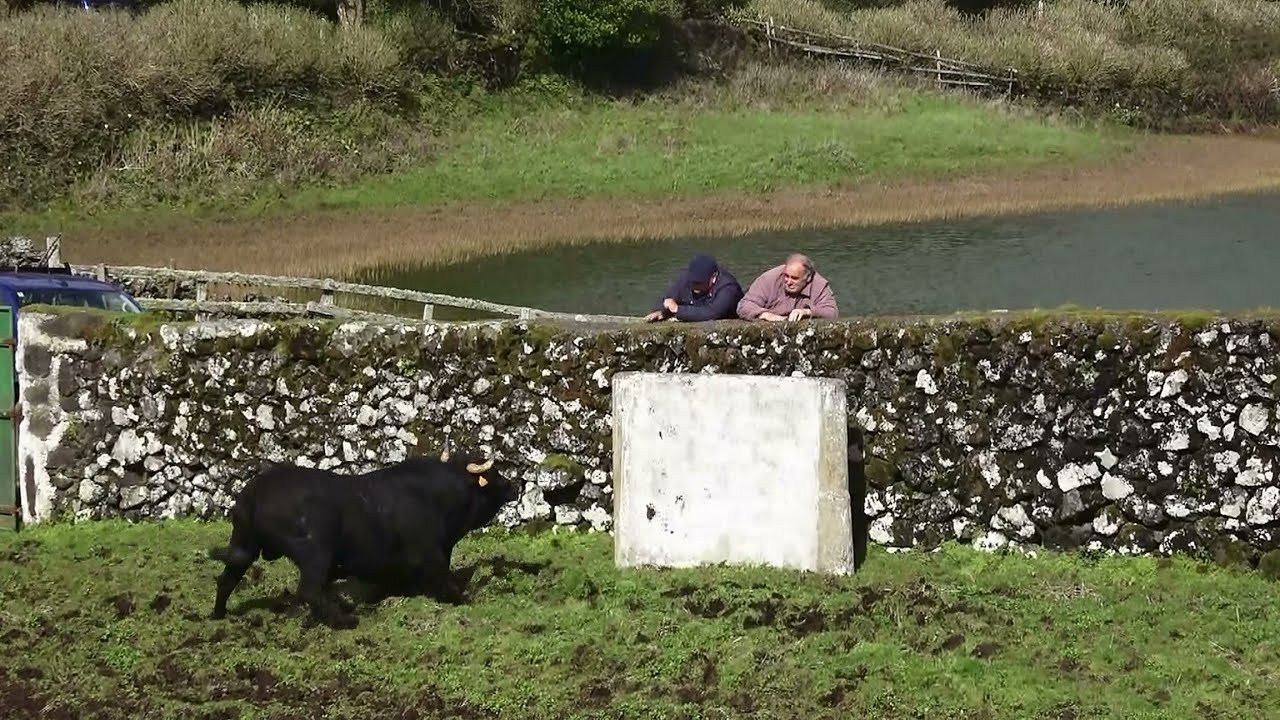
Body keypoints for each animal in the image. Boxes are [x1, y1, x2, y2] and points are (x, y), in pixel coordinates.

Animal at [207, 448, 521, 629]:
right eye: (494, 473)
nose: (514, 486)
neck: (438, 495)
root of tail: (257, 489)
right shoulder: (431, 553)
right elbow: (446, 580)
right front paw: (462, 598)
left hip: (245, 547)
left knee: (226, 579)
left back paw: (218, 614)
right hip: (316, 553)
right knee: (309, 590)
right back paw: (345, 619)